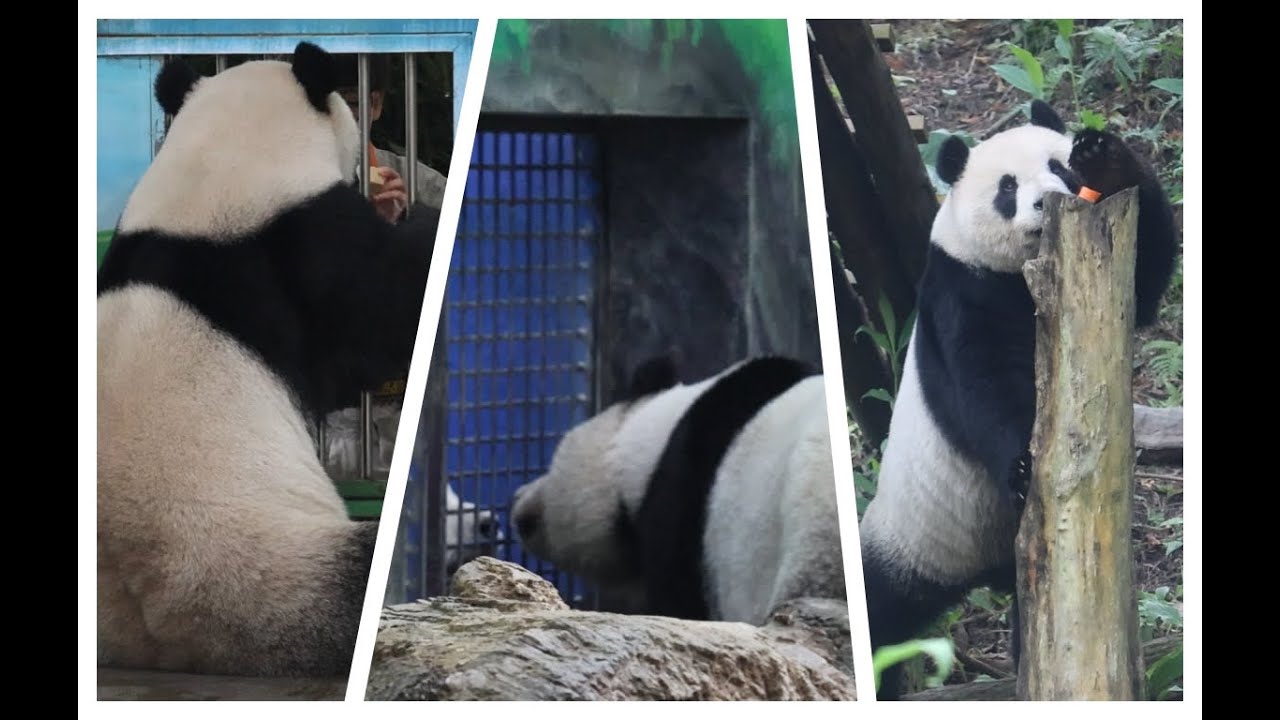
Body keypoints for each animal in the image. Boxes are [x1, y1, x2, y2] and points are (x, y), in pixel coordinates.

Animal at [859, 100, 1179, 699]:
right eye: (1006, 188)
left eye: (1058, 167)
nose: (1041, 201)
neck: (1022, 274)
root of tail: (974, 572)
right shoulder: (962, 290)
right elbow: (985, 390)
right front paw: (1026, 466)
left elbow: (1145, 281)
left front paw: (1106, 157)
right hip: (912, 537)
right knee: (877, 609)